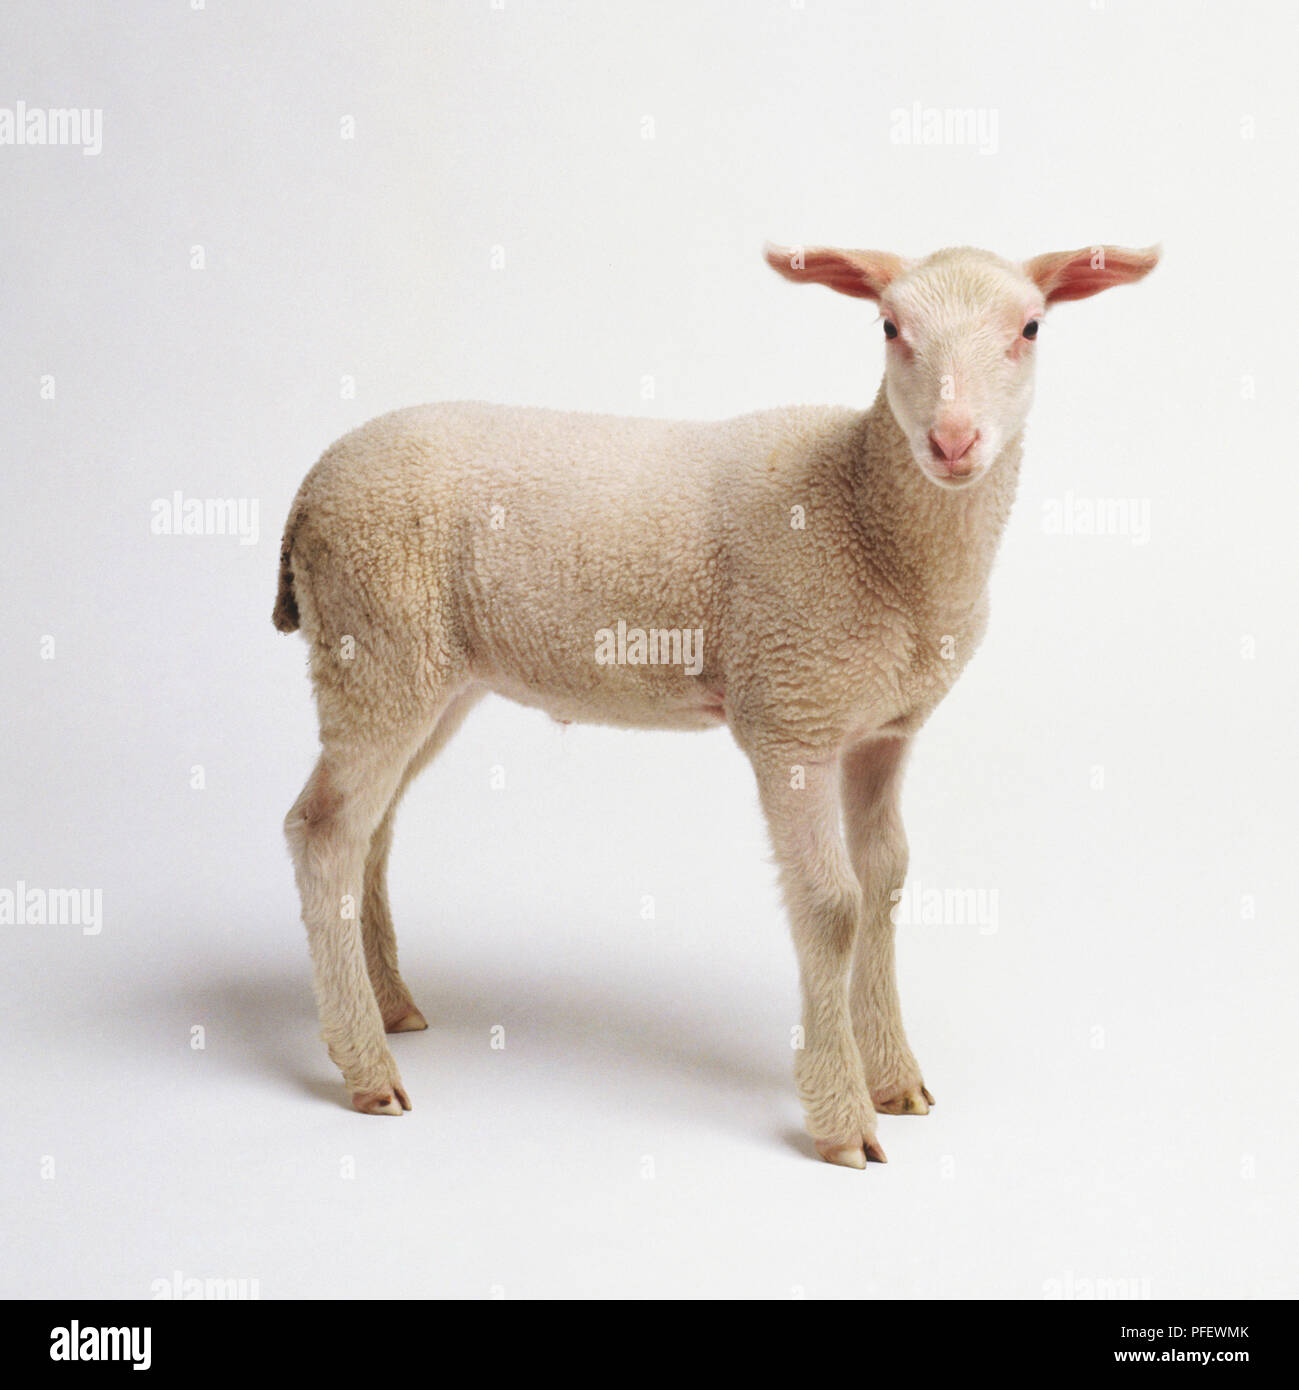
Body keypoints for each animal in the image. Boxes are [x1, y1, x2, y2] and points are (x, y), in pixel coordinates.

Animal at [275, 241, 1159, 1167]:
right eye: (888, 327)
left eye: (1030, 328)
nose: (952, 441)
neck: (863, 510)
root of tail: (314, 481)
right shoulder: (790, 714)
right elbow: (832, 908)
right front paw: (841, 1118)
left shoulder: (882, 728)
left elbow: (885, 883)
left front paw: (895, 1079)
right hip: (375, 640)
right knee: (324, 832)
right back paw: (364, 1064)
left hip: (430, 674)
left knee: (372, 829)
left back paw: (391, 1007)